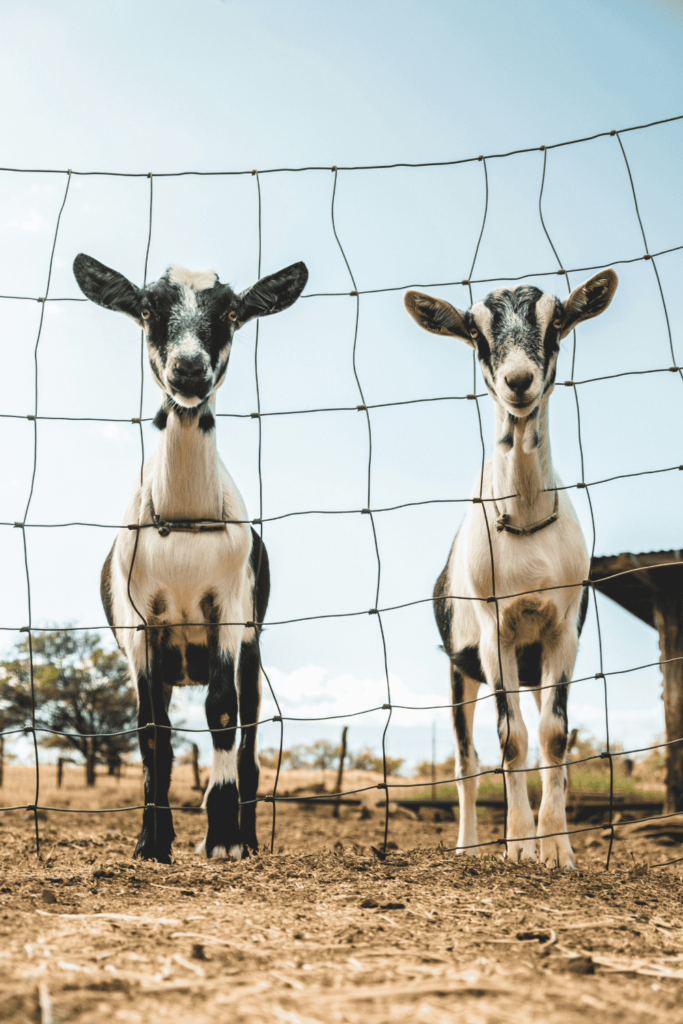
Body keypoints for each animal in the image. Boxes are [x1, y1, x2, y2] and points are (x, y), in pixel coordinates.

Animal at [73, 254, 308, 863]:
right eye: (148, 309)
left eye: (230, 312)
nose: (189, 369)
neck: (182, 520)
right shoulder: (141, 625)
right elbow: (151, 730)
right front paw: (152, 843)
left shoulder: (226, 609)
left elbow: (222, 713)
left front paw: (222, 838)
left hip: (252, 648)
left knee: (248, 740)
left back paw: (247, 838)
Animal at [404, 270, 618, 868]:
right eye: (475, 333)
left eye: (558, 321)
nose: (518, 381)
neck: (523, 516)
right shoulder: (494, 631)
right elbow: (510, 739)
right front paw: (519, 846)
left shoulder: (561, 630)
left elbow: (552, 737)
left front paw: (557, 850)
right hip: (461, 670)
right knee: (466, 762)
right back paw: (469, 845)